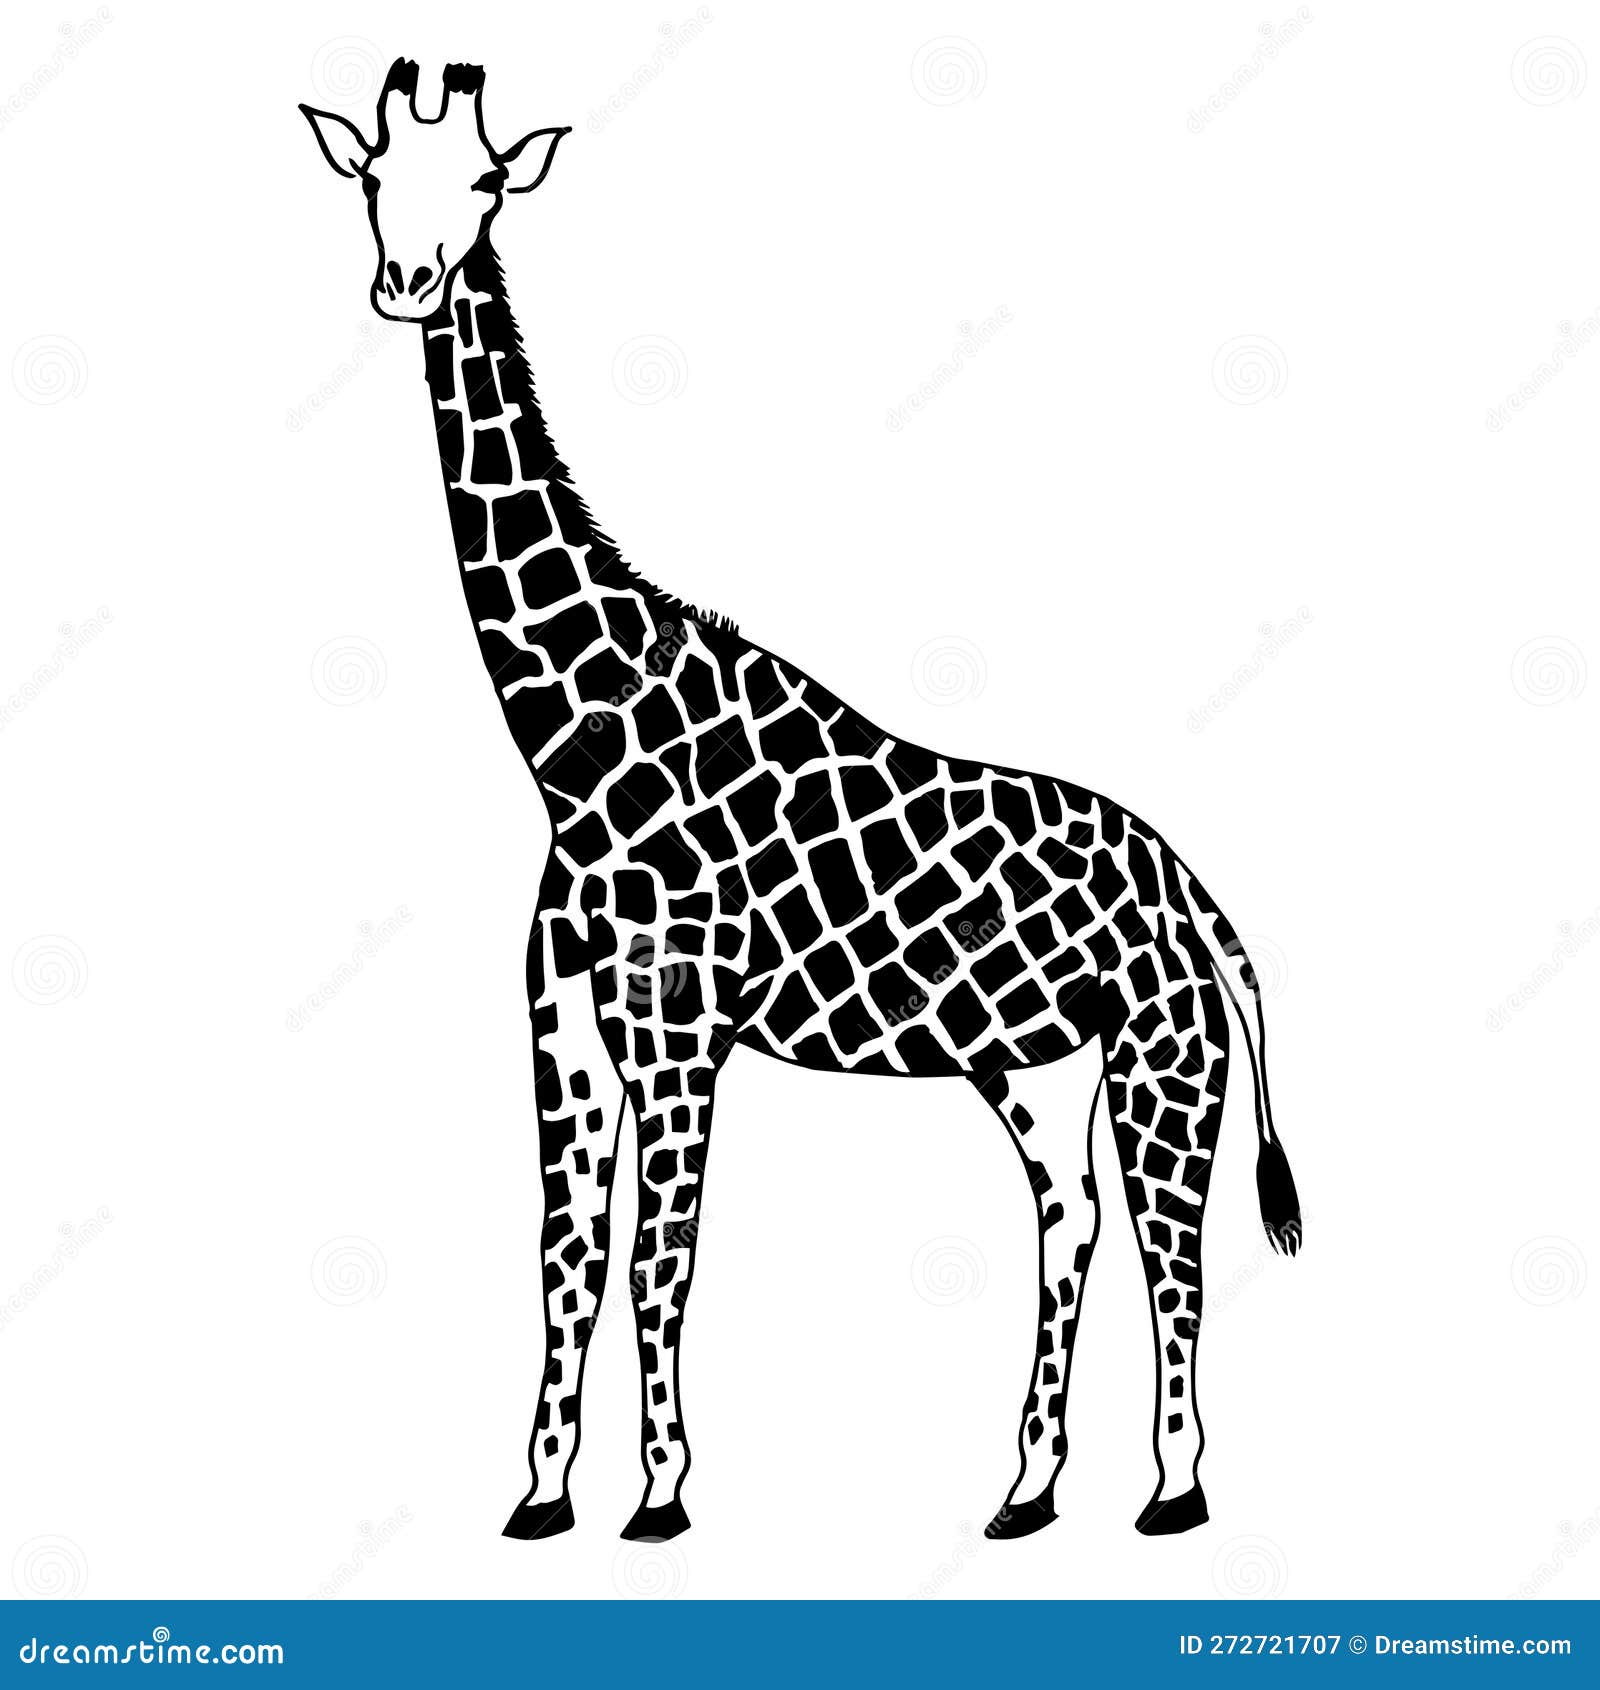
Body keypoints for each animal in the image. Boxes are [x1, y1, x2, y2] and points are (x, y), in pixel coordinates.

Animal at [301, 60, 1302, 1545]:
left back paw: (1172, 1492)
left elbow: (659, 1260)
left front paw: (659, 1497)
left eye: (480, 184)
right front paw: (540, 1493)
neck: (571, 750)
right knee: (1072, 1217)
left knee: (1168, 1236)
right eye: (371, 176)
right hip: (1028, 1064)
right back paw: (1025, 1491)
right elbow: (565, 1259)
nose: (405, 280)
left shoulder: (679, 1032)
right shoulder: (564, 1033)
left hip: (1163, 1051)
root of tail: (1199, 896)